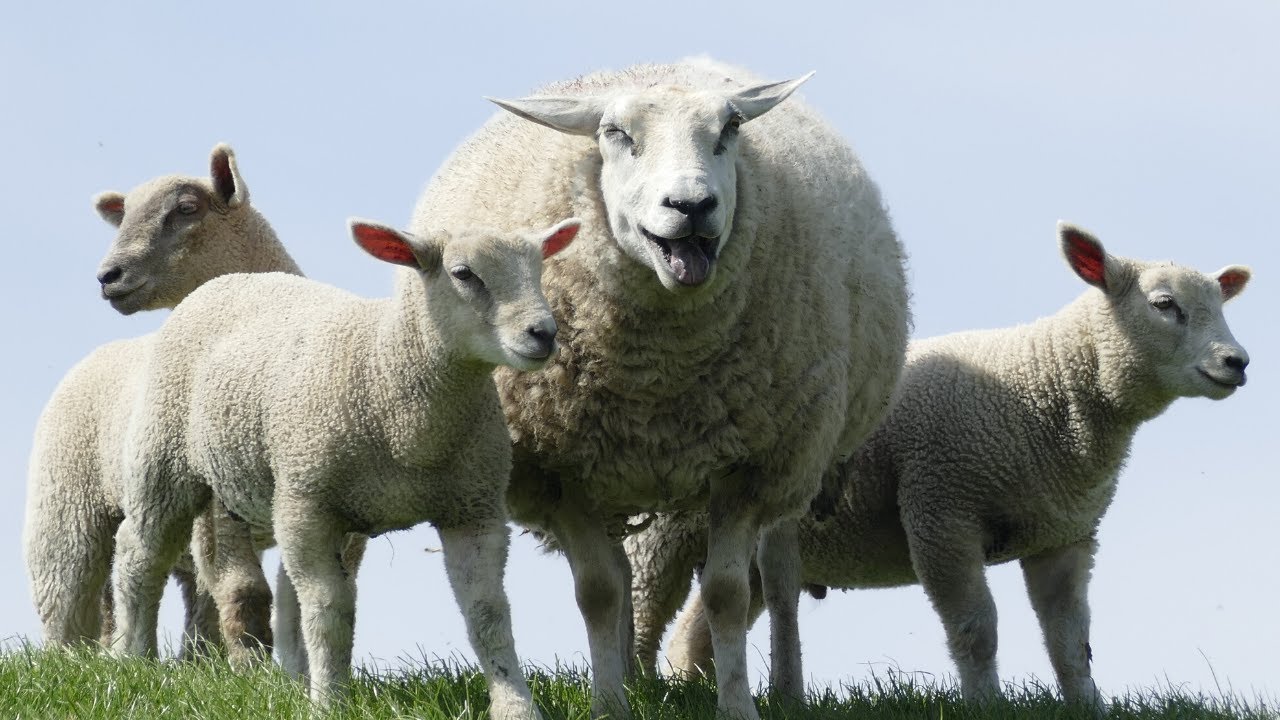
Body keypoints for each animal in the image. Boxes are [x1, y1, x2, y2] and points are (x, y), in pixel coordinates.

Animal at [23, 144, 293, 660]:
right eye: (124, 215)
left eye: (186, 209)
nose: (108, 276)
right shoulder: (217, 508)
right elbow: (245, 591)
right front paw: (253, 664)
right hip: (66, 511)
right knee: (67, 598)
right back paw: (76, 661)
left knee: (184, 598)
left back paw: (190, 659)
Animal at [110, 215, 580, 718]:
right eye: (463, 274)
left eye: (539, 267)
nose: (544, 333)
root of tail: (231, 280)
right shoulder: (308, 504)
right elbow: (329, 612)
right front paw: (330, 702)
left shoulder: (475, 509)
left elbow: (488, 613)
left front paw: (516, 706)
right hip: (165, 454)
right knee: (141, 553)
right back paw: (132, 659)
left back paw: (291, 680)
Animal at [410, 57, 911, 718]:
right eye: (615, 134)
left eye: (729, 130)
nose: (691, 205)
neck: (657, 379)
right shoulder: (563, 472)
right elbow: (599, 591)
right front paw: (609, 704)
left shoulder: (750, 467)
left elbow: (727, 593)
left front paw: (737, 705)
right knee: (628, 577)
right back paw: (632, 676)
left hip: (798, 453)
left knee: (779, 577)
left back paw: (787, 689)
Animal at [628, 222, 1252, 708]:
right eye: (1165, 305)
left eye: (1220, 307)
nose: (1237, 362)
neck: (1047, 387)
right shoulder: (941, 508)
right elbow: (977, 630)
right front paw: (987, 705)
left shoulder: (1064, 537)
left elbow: (1072, 644)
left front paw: (1087, 706)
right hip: (662, 530)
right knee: (642, 606)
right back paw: (637, 689)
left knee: (697, 632)